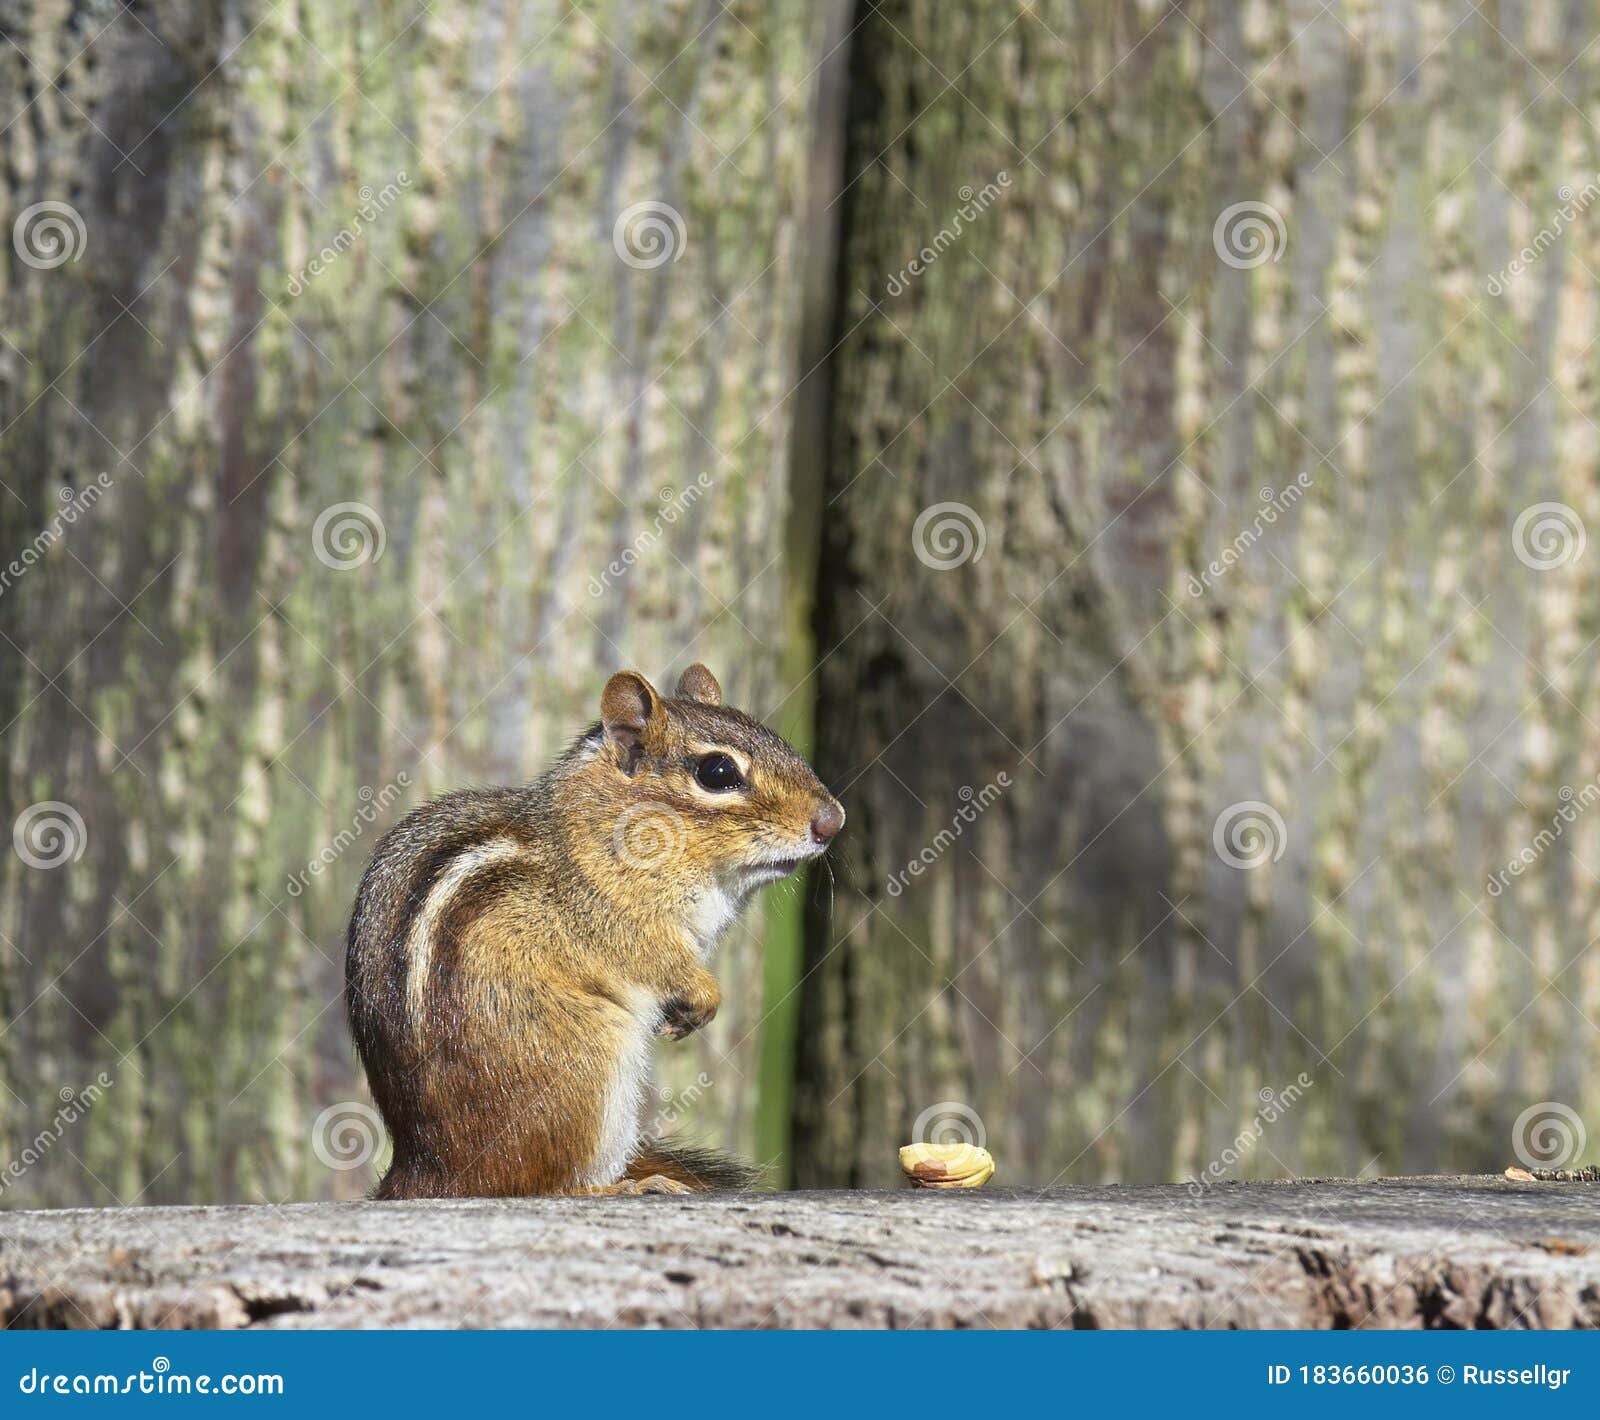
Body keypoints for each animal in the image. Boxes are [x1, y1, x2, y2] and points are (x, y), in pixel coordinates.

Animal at [344, 663, 844, 1199]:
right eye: (717, 772)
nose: (833, 820)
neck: (614, 824)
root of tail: (428, 1169)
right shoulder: (618, 919)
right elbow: (660, 962)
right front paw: (704, 998)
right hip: (589, 1068)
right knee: (539, 1185)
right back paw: (623, 1186)